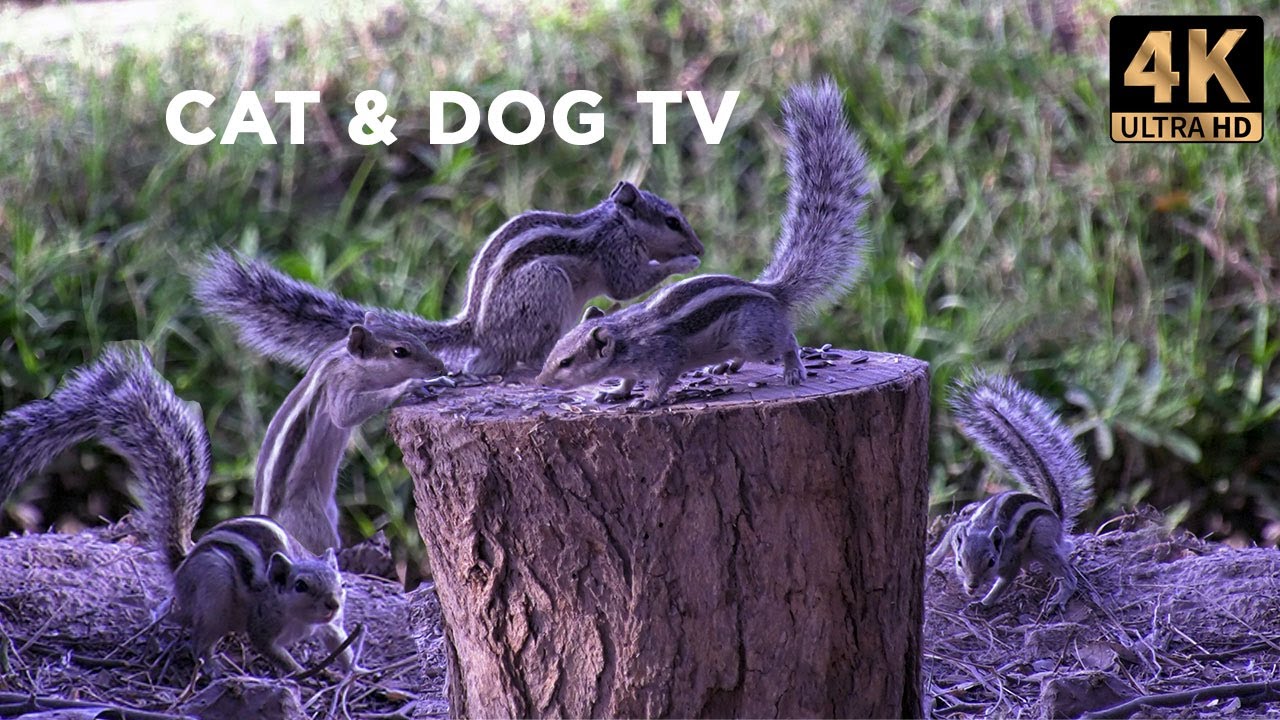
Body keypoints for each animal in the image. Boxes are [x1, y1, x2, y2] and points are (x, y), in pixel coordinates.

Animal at [0, 346, 355, 674]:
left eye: (341, 583)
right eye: (301, 586)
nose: (333, 604)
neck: (299, 616)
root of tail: (183, 565)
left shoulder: (329, 625)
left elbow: (339, 641)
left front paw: (354, 670)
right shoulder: (263, 623)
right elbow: (269, 648)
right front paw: (300, 673)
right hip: (214, 595)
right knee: (201, 639)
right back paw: (211, 666)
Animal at [193, 182, 704, 377]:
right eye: (672, 221)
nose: (698, 246)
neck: (615, 223)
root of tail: (476, 329)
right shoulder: (617, 255)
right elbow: (628, 285)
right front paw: (682, 264)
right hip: (547, 287)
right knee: (512, 358)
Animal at [256, 316, 448, 554]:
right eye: (400, 352)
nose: (440, 366)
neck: (349, 360)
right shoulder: (339, 385)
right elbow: (345, 415)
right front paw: (413, 385)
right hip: (312, 525)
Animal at [536, 79, 870, 408]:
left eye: (567, 362)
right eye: (554, 352)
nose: (540, 382)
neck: (627, 337)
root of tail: (769, 291)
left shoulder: (666, 355)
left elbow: (663, 378)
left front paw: (648, 400)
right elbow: (628, 380)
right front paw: (615, 392)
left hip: (756, 338)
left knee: (786, 341)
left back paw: (793, 370)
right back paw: (726, 366)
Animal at [927, 372, 1095, 609]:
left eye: (991, 561)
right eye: (959, 562)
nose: (972, 586)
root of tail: (1055, 515)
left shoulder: (1011, 559)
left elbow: (1003, 583)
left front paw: (984, 603)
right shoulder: (957, 531)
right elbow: (946, 539)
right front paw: (930, 560)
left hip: (1041, 539)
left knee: (1067, 570)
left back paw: (1060, 597)